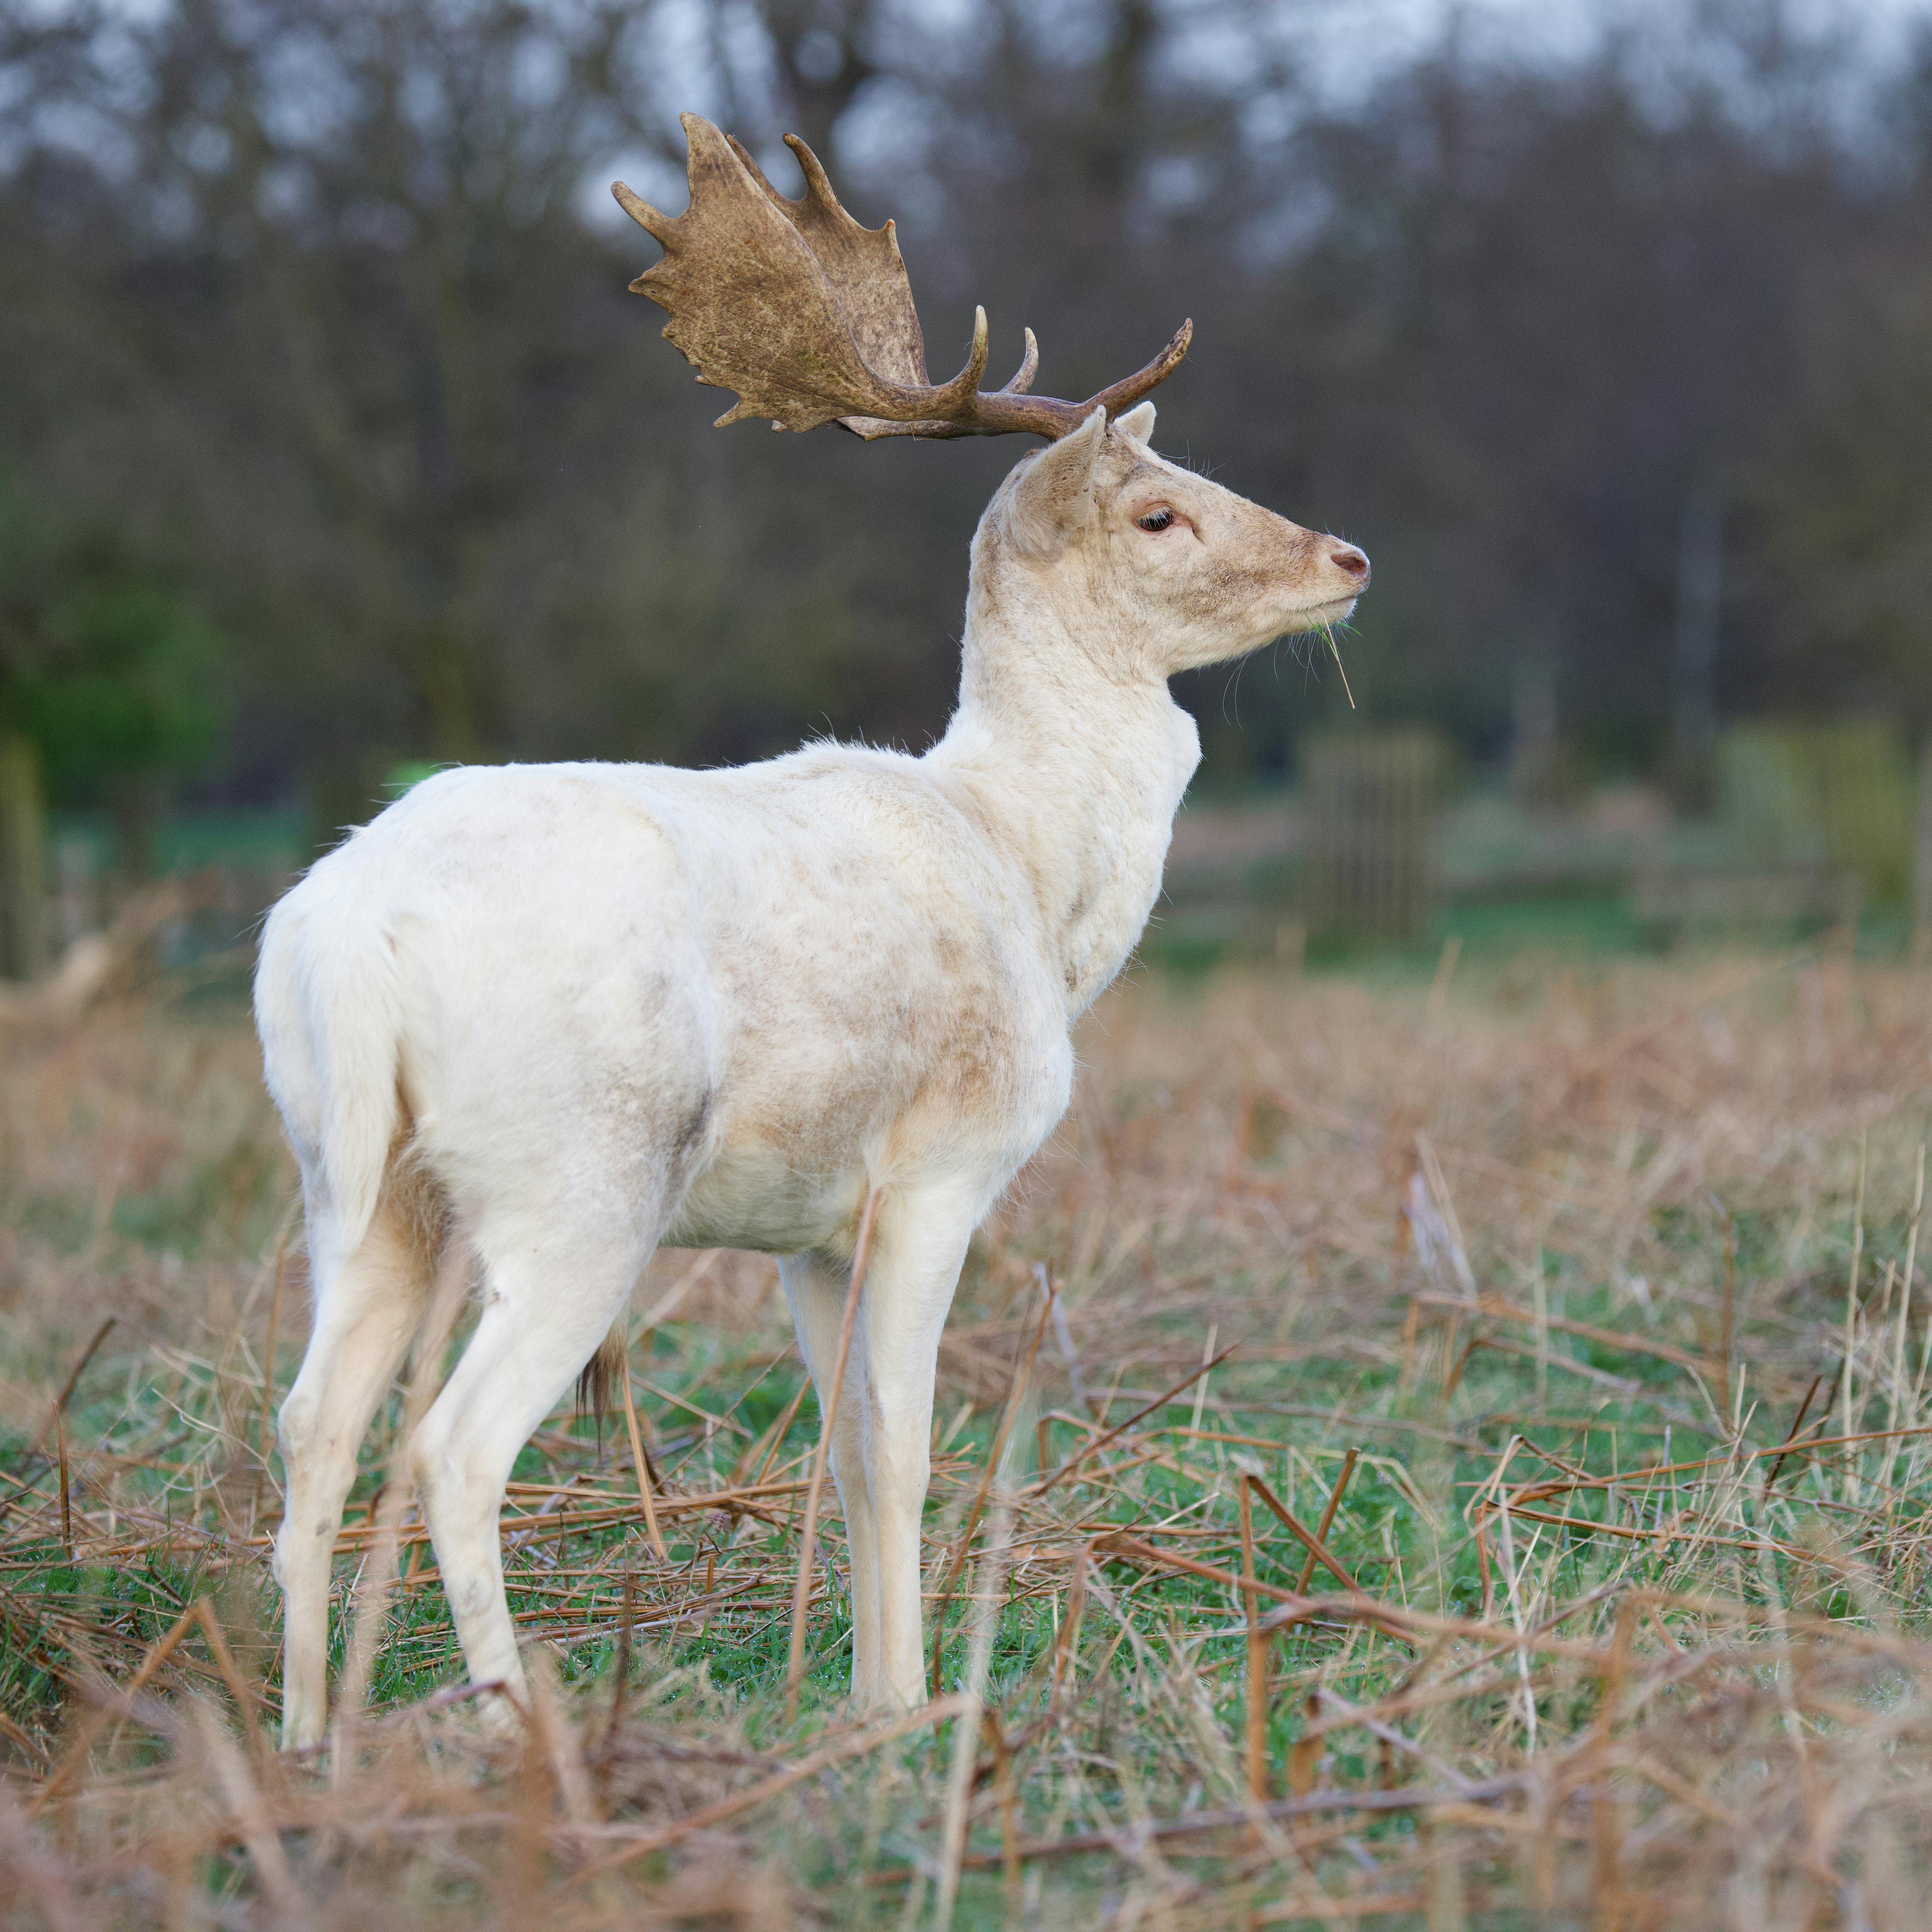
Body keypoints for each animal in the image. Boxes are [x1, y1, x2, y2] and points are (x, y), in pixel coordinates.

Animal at [255, 112, 1369, 1750]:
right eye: (1161, 510)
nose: (1345, 559)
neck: (1027, 864)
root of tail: (347, 935)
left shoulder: (806, 1226)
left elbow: (843, 1449)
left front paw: (860, 1694)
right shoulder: (938, 1173)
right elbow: (903, 1445)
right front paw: (908, 1715)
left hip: (353, 1179)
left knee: (311, 1426)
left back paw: (305, 1738)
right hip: (580, 1180)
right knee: (452, 1444)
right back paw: (519, 1726)